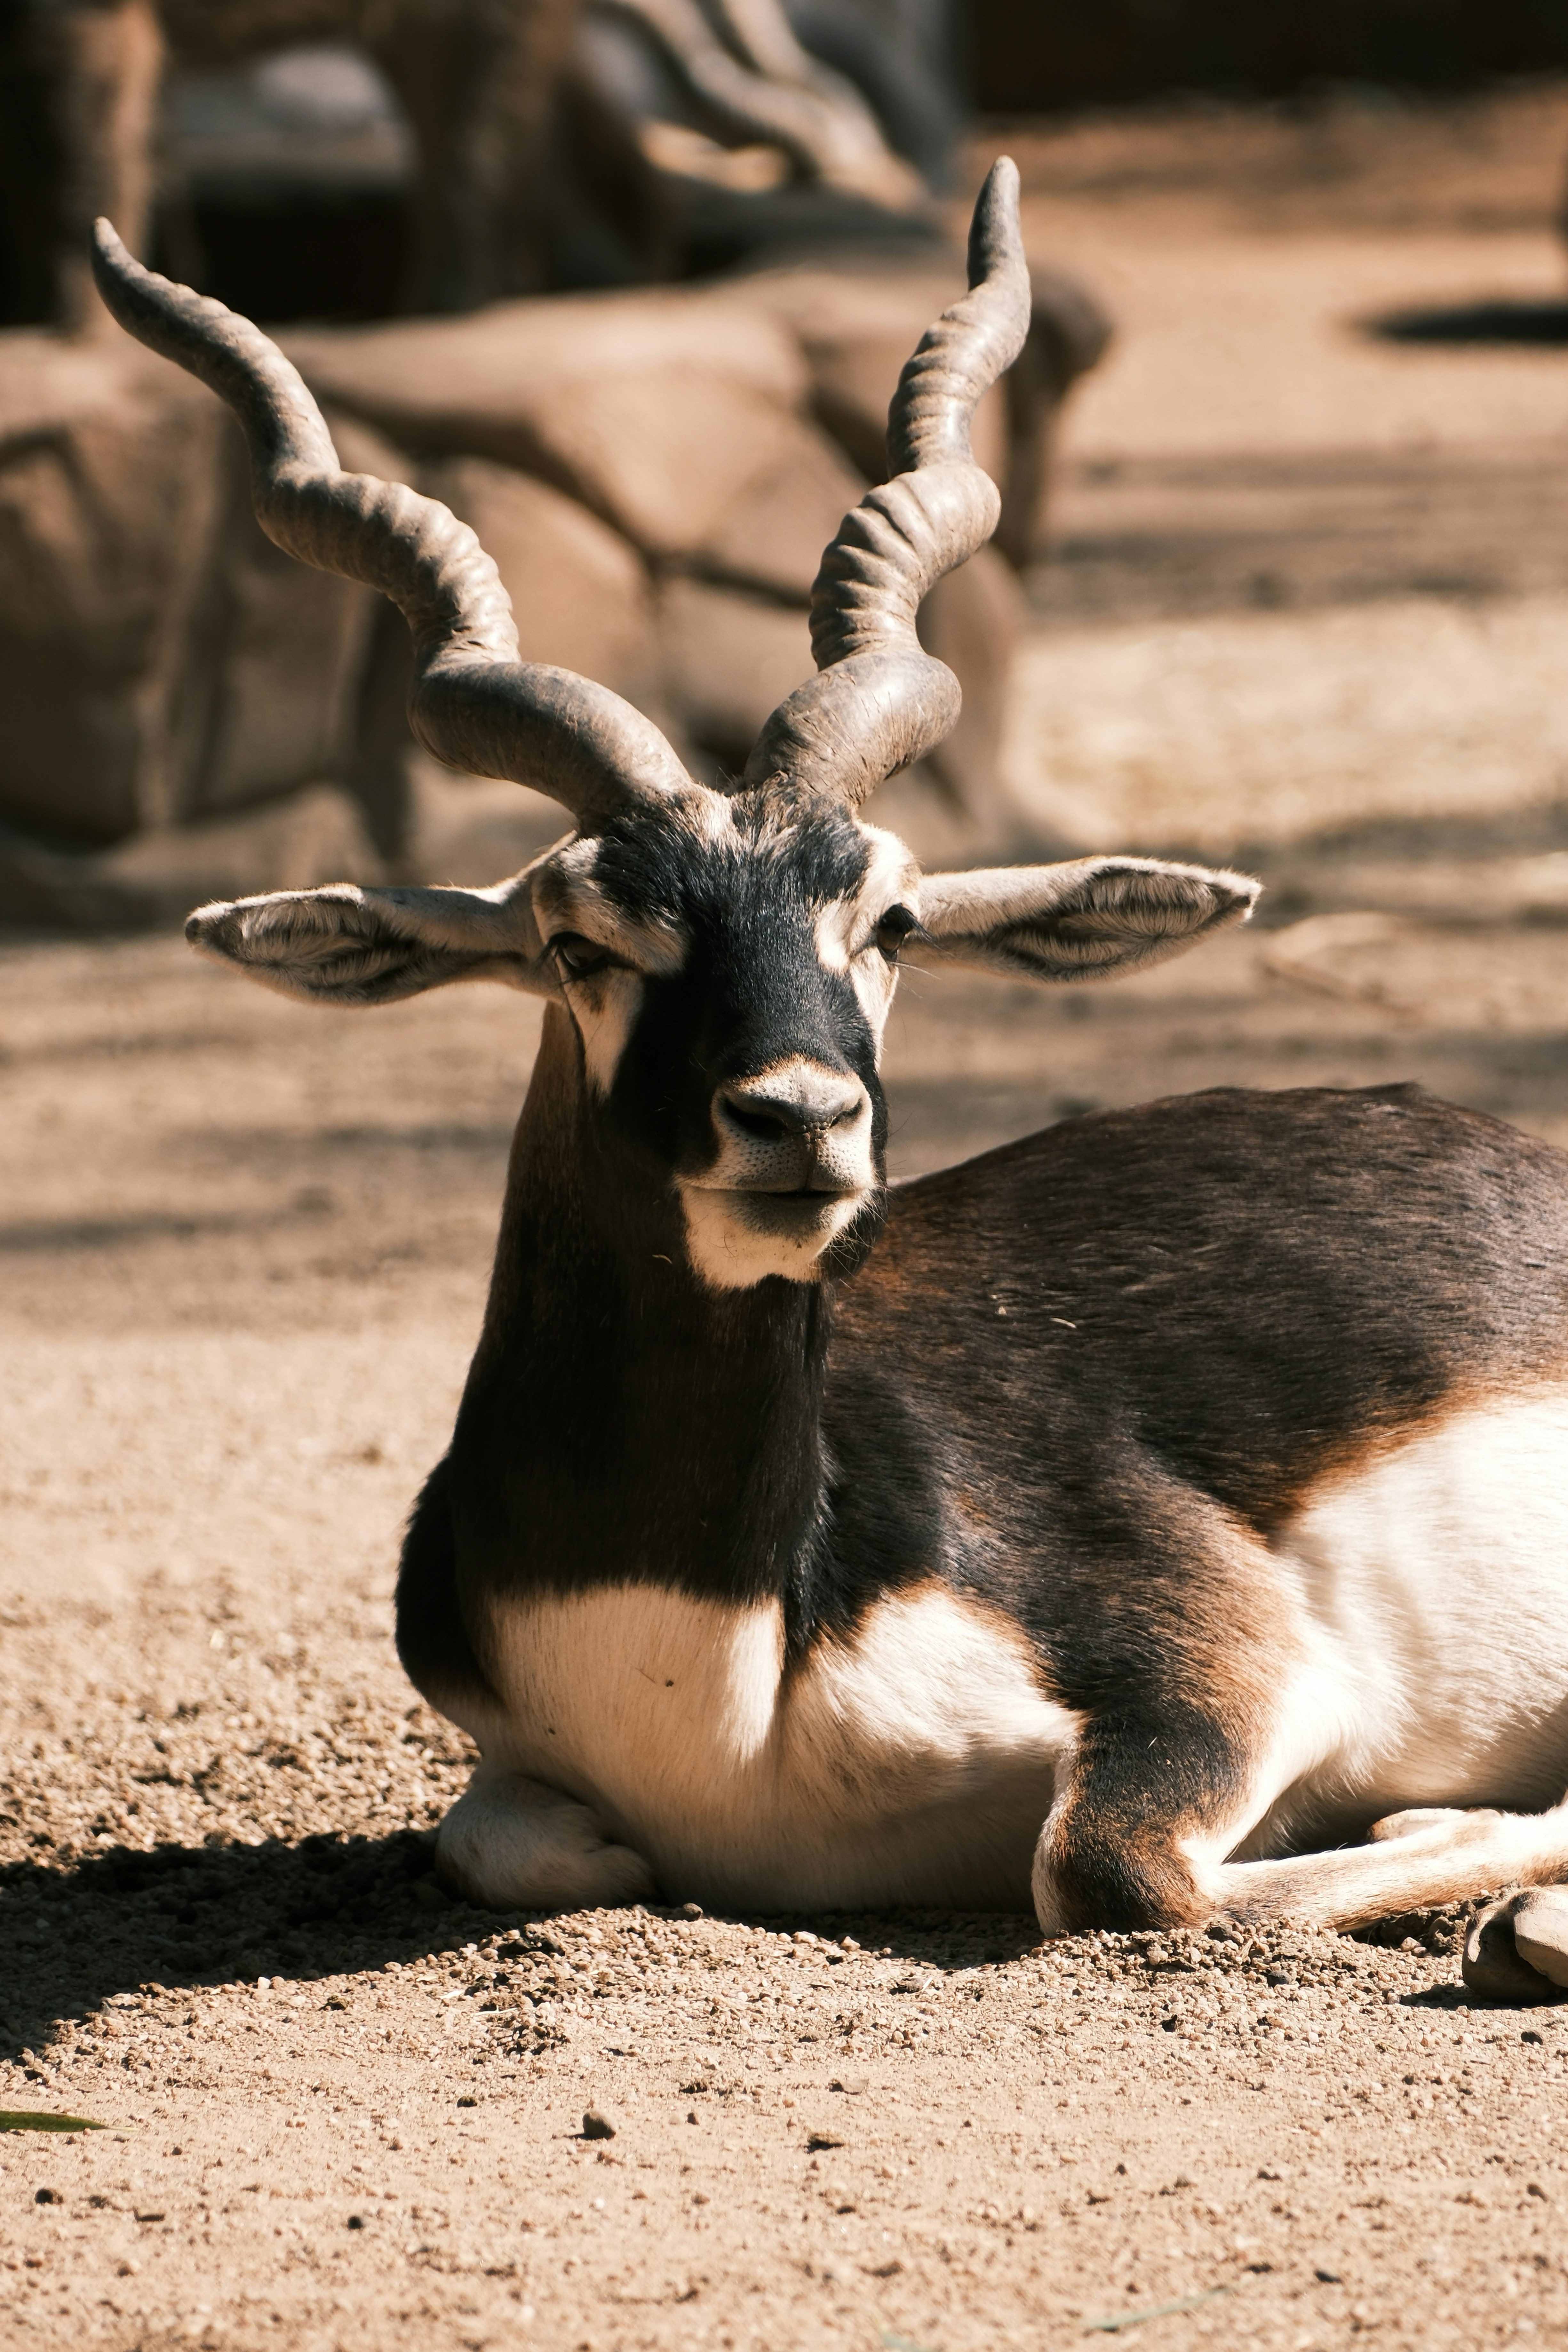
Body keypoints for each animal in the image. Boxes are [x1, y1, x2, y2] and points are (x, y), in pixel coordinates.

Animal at [93, 166, 1568, 1988]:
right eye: (578, 939)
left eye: (890, 919)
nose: (797, 1118)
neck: (724, 1649)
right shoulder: (521, 1781)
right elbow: (500, 1839)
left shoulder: (1237, 1674)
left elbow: (1106, 1869)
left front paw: (1479, 1860)